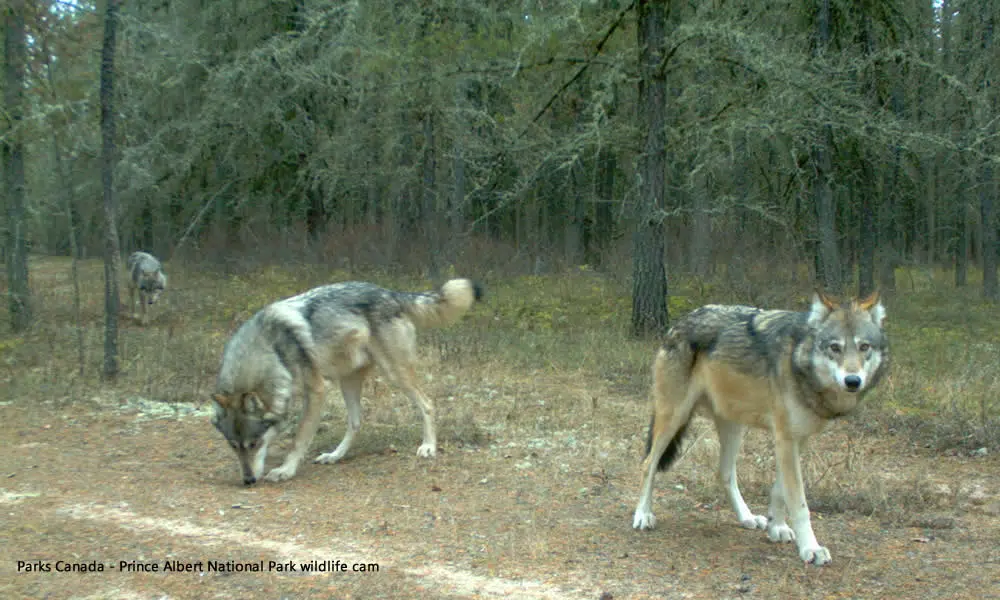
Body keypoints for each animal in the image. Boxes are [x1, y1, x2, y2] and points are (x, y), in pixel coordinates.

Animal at [210, 278, 483, 486]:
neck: (269, 349)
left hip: (394, 374)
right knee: (356, 422)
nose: (248, 481)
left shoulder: (317, 390)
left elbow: (299, 437)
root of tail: (391, 293)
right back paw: (334, 456)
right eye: (233, 446)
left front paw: (285, 470)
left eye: (254, 443)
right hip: (348, 381)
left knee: (427, 404)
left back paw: (428, 447)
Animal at [632, 291, 888, 566]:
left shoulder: (796, 439)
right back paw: (643, 514)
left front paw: (777, 527)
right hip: (674, 418)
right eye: (835, 347)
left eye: (864, 347)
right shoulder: (785, 438)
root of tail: (680, 321)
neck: (799, 358)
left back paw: (746, 517)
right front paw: (811, 548)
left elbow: (779, 491)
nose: (853, 381)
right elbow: (799, 503)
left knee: (724, 473)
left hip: (734, 427)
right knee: (647, 464)